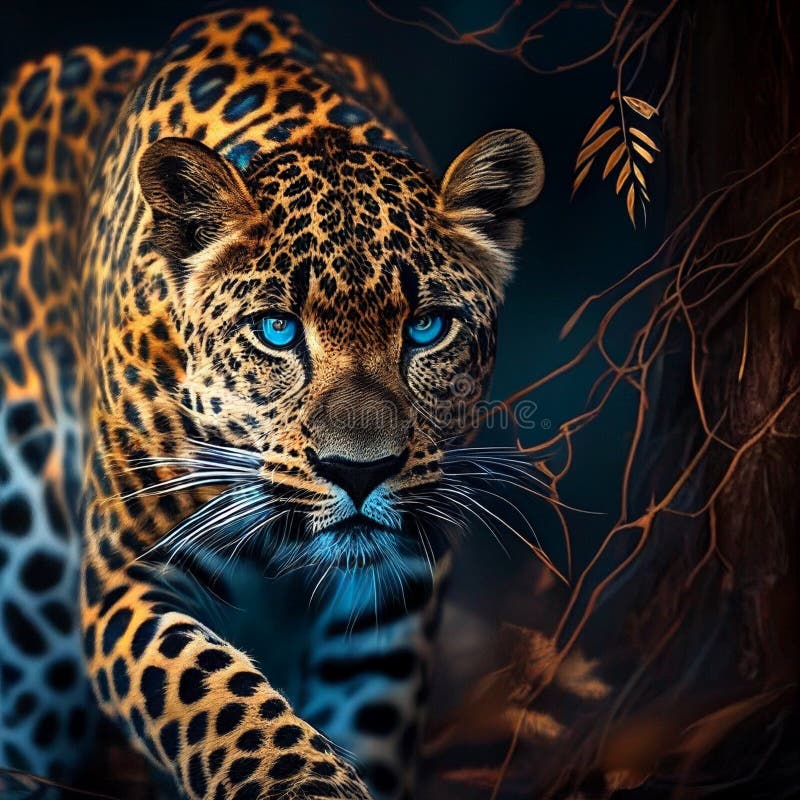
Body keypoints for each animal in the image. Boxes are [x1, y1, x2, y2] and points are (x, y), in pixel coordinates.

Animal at [0, 6, 543, 799]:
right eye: (277, 330)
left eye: (426, 327)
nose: (358, 473)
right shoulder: (128, 574)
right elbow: (216, 697)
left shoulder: (384, 613)